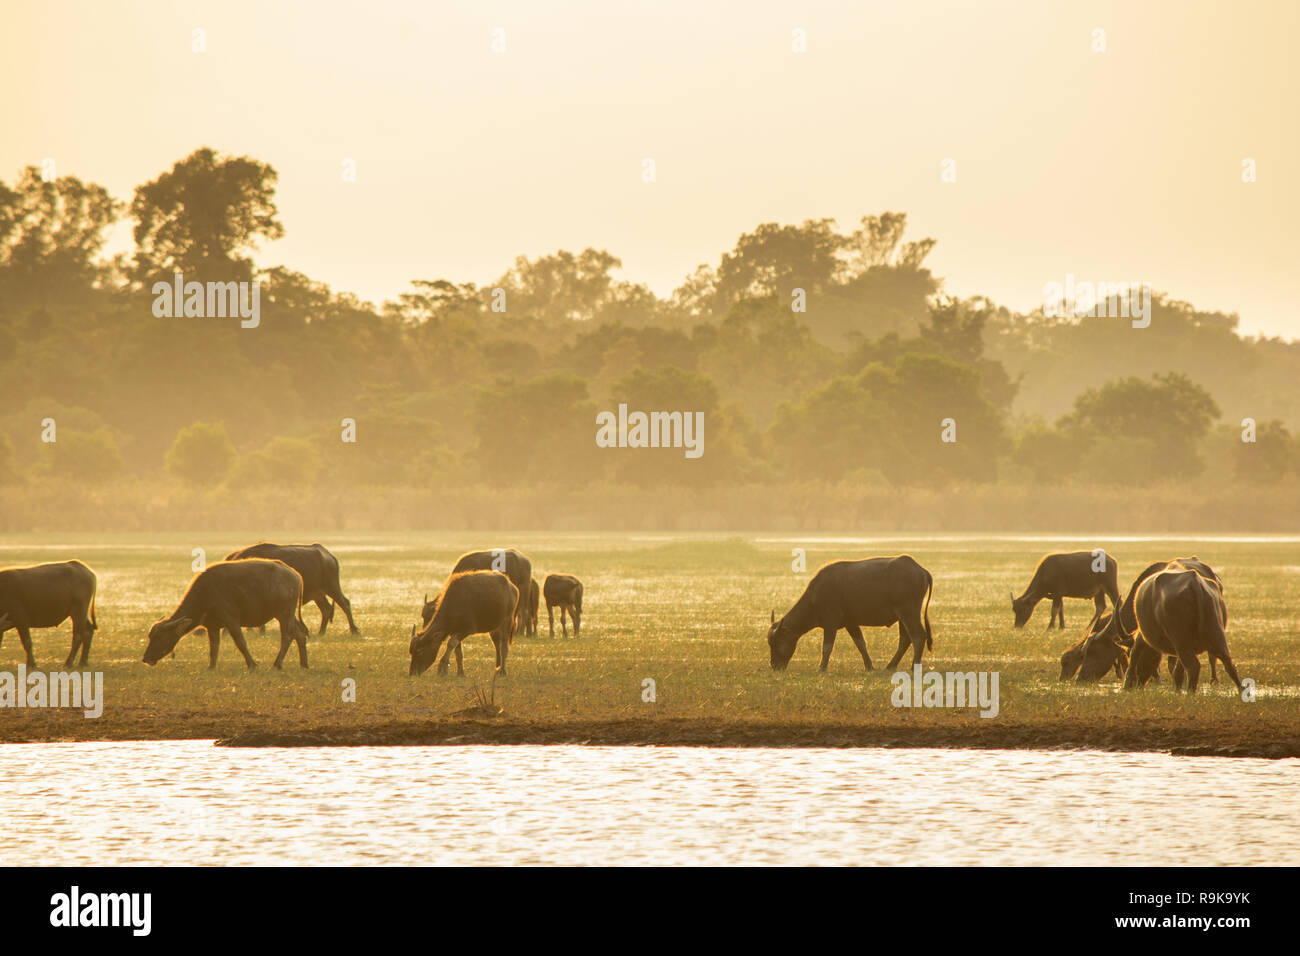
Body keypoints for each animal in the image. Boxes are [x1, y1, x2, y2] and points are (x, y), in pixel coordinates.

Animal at [143, 559, 309, 670]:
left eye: (161, 637)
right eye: (150, 637)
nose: (146, 658)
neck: (206, 593)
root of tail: (295, 575)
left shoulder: (232, 621)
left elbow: (240, 642)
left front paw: (252, 665)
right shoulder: (212, 627)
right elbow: (213, 647)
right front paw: (211, 667)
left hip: (284, 614)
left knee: (287, 636)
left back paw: (277, 664)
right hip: (287, 615)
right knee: (299, 634)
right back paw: (304, 664)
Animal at [225, 542, 359, 635]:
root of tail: (328, 555)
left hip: (331, 587)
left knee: (345, 604)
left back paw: (354, 630)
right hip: (318, 594)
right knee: (326, 609)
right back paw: (321, 632)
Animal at [767, 555, 933, 671]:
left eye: (776, 642)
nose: (774, 665)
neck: (815, 595)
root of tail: (921, 570)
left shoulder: (830, 624)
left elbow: (827, 647)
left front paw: (821, 668)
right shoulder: (851, 623)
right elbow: (861, 644)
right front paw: (869, 666)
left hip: (909, 613)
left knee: (918, 636)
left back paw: (914, 666)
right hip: (902, 617)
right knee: (905, 639)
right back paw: (890, 666)